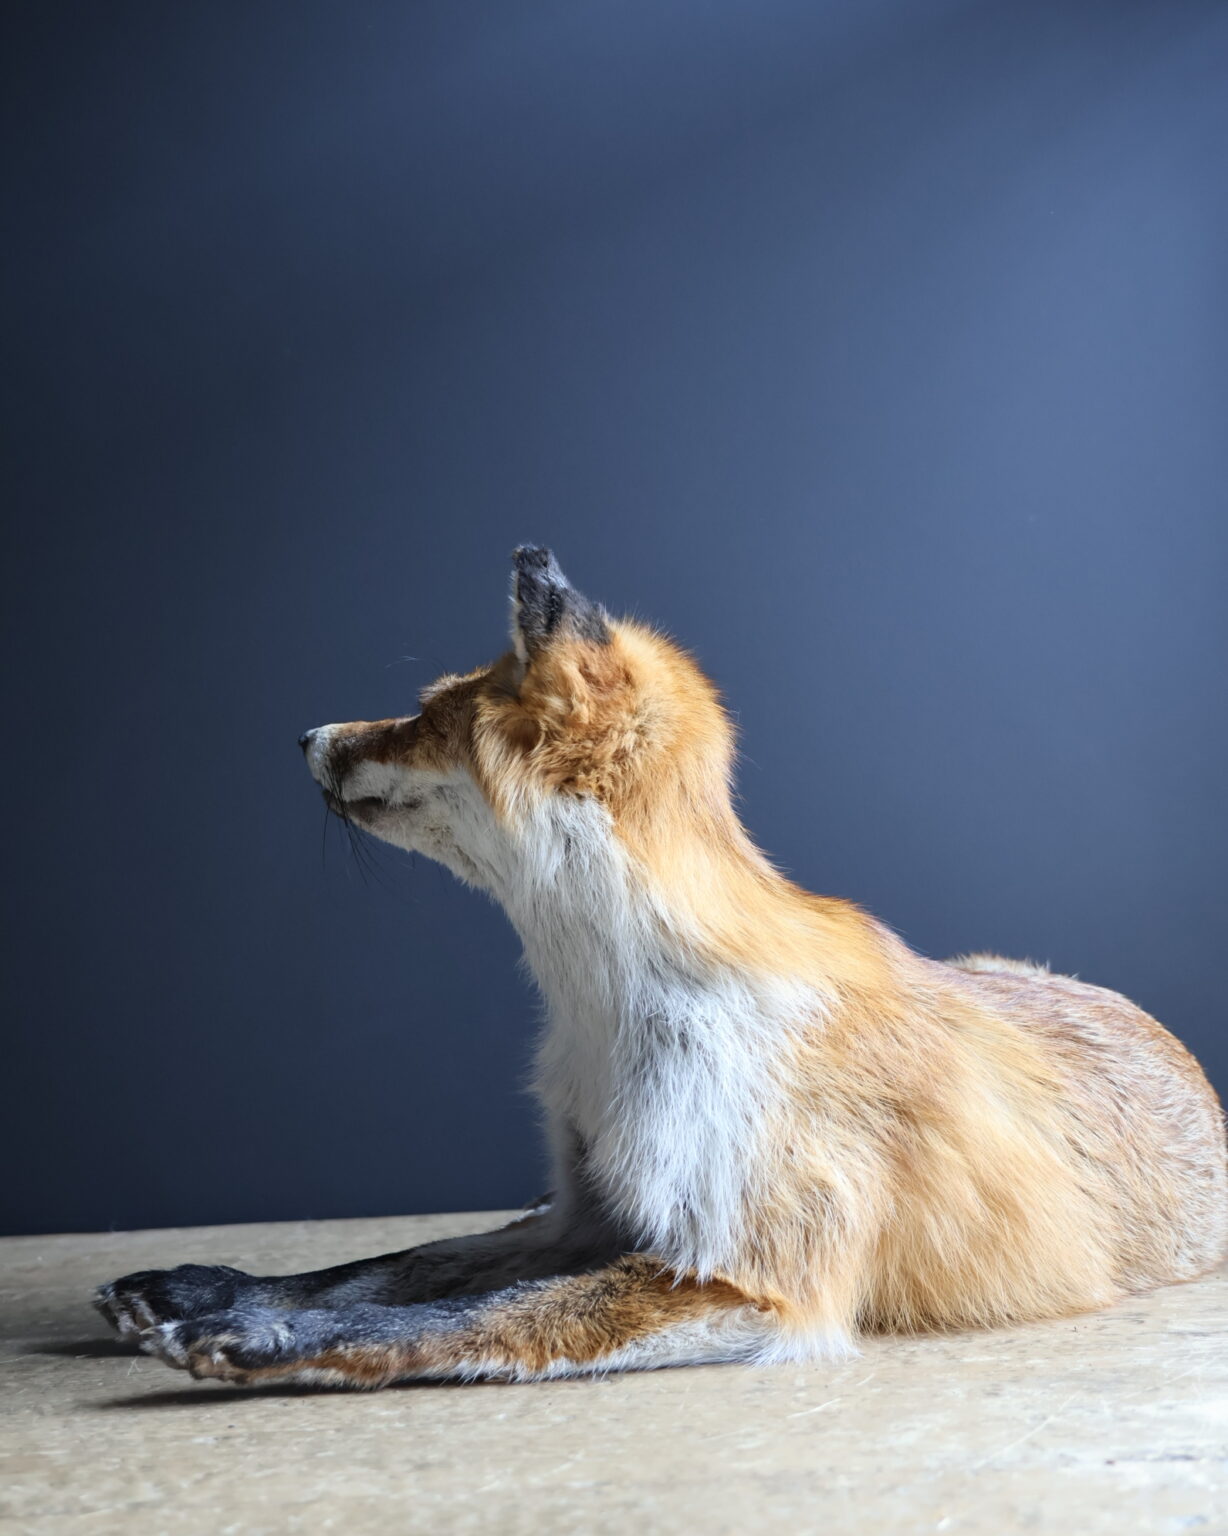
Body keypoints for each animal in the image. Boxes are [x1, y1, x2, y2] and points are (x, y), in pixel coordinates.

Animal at [96, 547, 1227, 1386]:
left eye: (424, 717)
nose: (304, 735)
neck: (600, 1013)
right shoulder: (584, 1207)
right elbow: (390, 1264)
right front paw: (207, 1289)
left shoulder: (752, 1278)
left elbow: (467, 1315)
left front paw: (265, 1339)